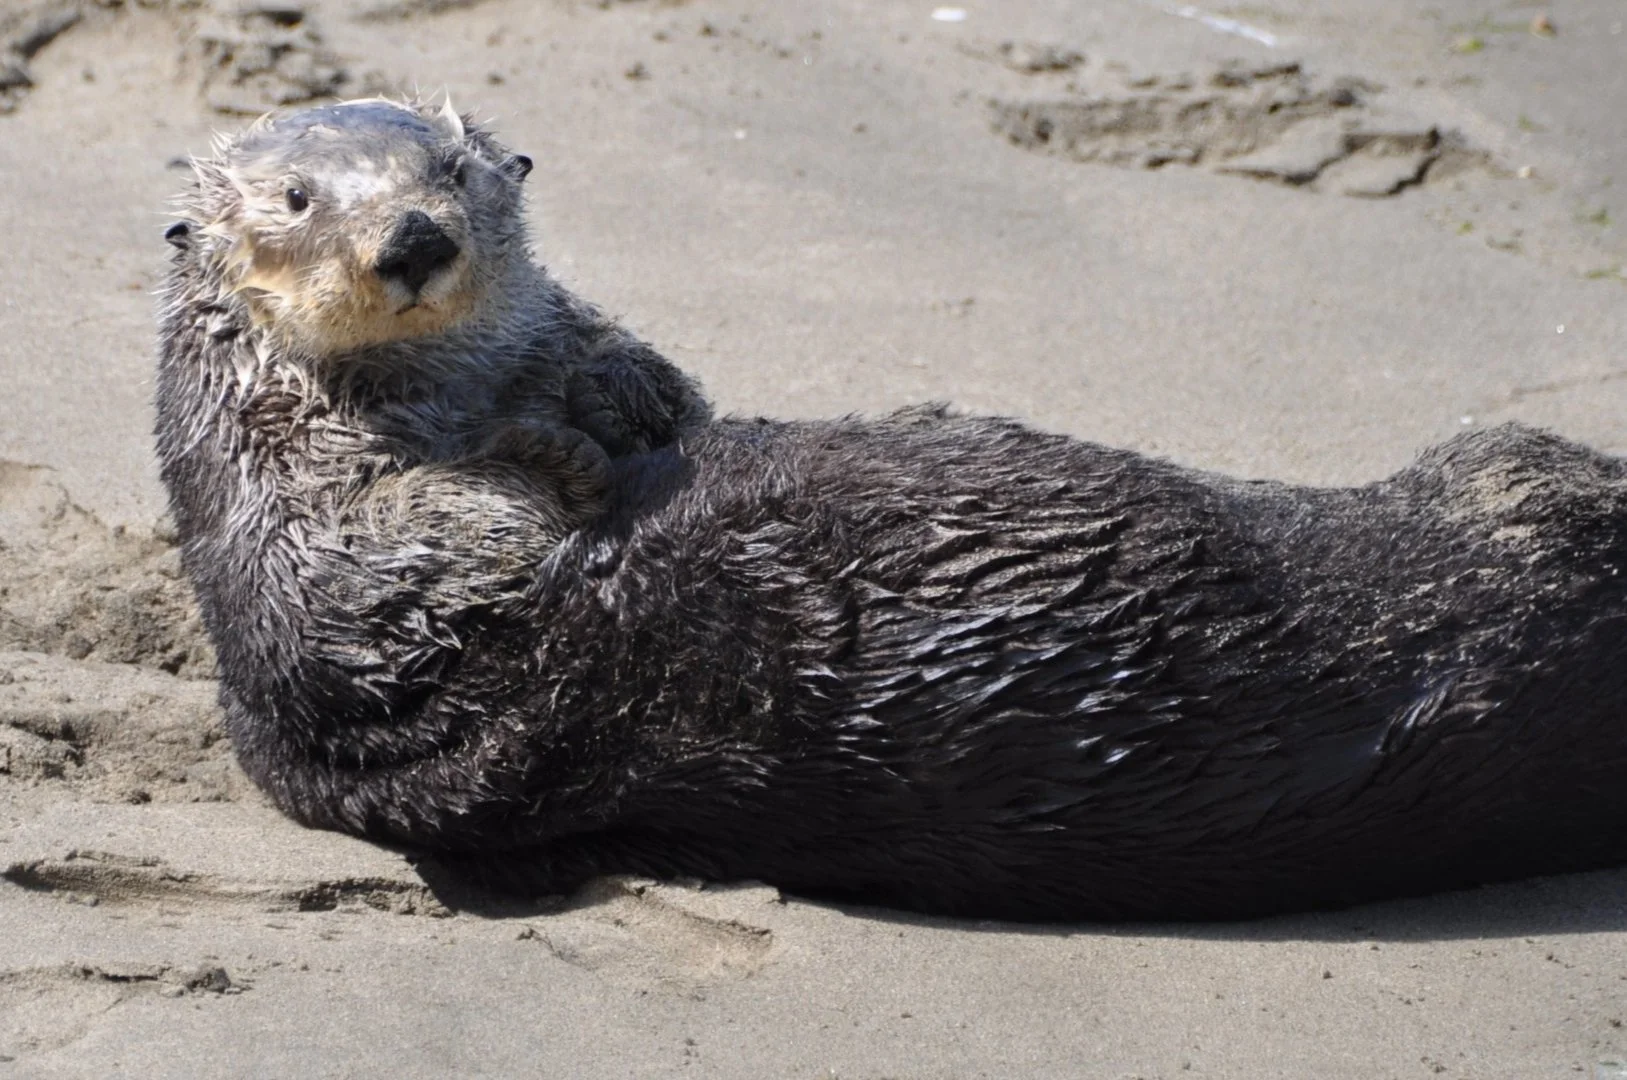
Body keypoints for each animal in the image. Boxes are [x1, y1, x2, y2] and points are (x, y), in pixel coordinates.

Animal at [158, 100, 1627, 922]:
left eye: (452, 175)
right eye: (295, 200)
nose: (408, 240)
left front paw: (613, 403)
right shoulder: (305, 550)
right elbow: (431, 562)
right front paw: (554, 451)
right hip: (1507, 496)